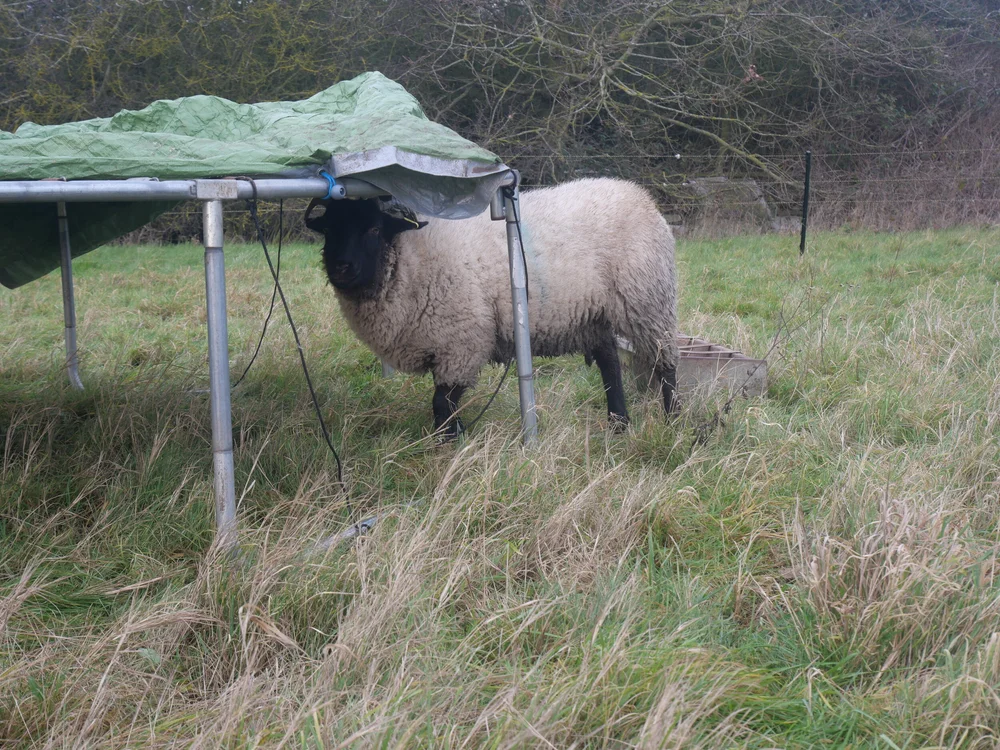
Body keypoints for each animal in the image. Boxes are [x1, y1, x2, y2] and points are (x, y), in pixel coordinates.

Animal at [306, 177, 678, 438]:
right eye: (329, 230)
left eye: (373, 229)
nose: (341, 268)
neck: (407, 259)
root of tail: (640, 195)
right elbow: (445, 405)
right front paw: (453, 439)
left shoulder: (463, 343)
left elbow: (442, 404)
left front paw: (447, 447)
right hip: (596, 312)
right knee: (610, 364)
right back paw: (618, 424)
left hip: (648, 302)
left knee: (666, 365)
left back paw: (672, 420)